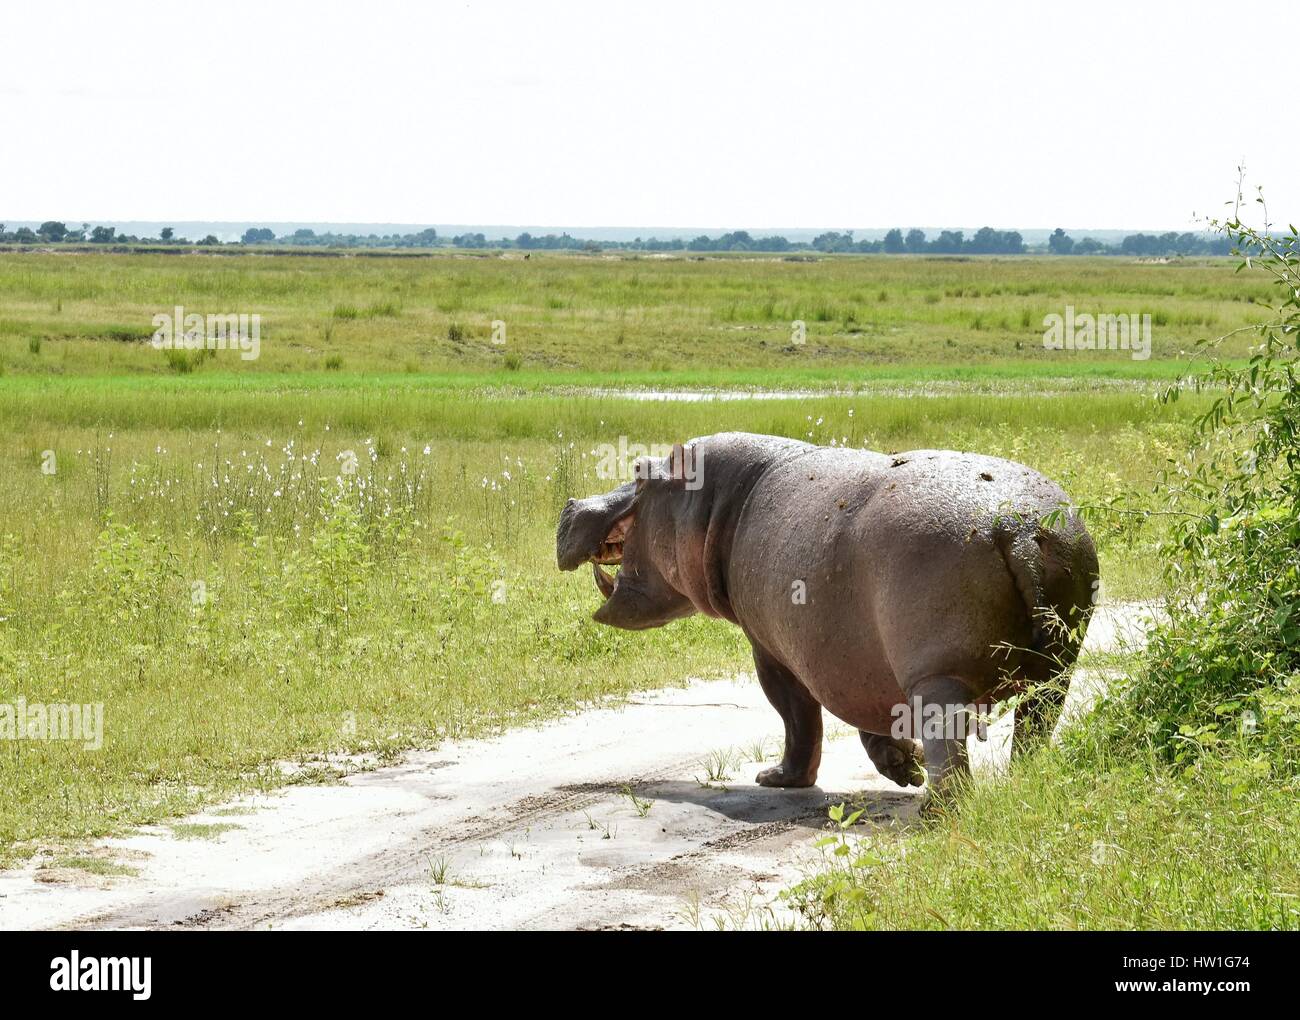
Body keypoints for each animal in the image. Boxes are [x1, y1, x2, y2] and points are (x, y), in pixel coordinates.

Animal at [556, 432, 1098, 802]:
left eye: (640, 469)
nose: (570, 503)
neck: (717, 503)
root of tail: (1014, 525)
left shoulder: (773, 651)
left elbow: (797, 716)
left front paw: (777, 780)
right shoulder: (855, 656)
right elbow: (869, 715)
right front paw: (904, 767)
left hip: (938, 676)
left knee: (947, 739)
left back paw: (940, 807)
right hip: (1057, 667)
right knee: (1036, 723)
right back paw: (1021, 780)